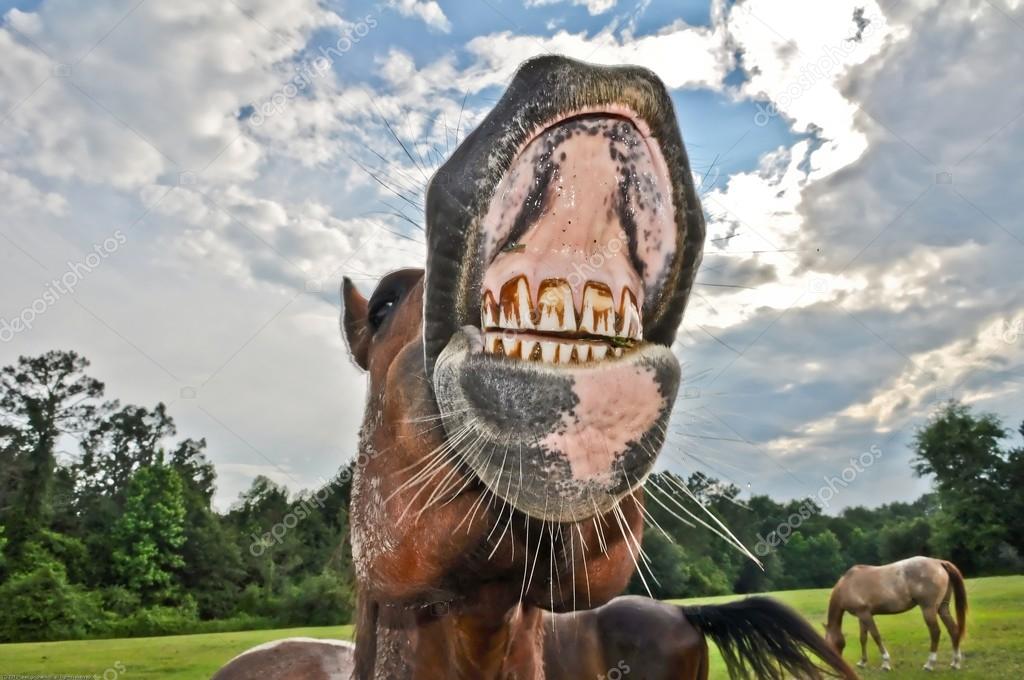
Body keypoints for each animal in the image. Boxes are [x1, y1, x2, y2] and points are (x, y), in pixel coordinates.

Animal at [823, 556, 967, 672]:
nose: (835, 665)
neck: (847, 585)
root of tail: (939, 562)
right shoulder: (861, 616)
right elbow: (863, 638)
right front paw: (862, 662)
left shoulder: (865, 615)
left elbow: (876, 636)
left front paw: (885, 663)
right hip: (942, 608)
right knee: (953, 630)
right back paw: (955, 663)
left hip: (929, 609)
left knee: (935, 632)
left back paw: (929, 664)